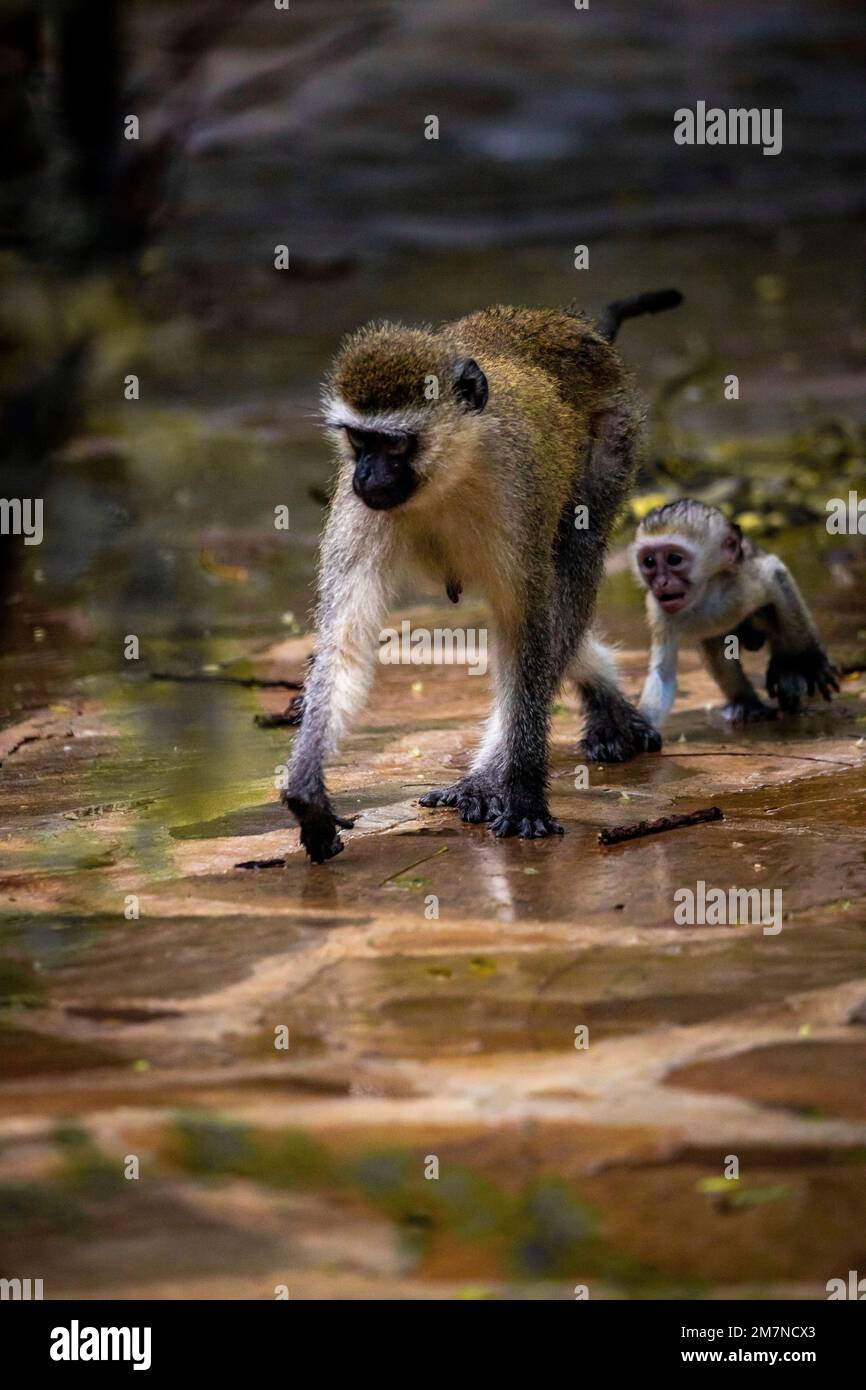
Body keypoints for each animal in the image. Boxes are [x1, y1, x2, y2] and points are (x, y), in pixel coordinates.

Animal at [287, 290, 681, 856]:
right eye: (360, 441)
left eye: (395, 444)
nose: (367, 476)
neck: (449, 471)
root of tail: (558, 322)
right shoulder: (355, 511)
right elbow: (345, 638)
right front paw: (306, 791)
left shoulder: (520, 493)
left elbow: (530, 630)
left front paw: (519, 790)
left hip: (613, 439)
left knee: (569, 583)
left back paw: (496, 771)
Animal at [636, 505, 839, 733]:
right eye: (649, 562)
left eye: (674, 559)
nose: (660, 583)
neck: (703, 594)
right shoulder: (658, 610)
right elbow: (663, 675)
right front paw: (641, 728)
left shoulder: (743, 583)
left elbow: (776, 573)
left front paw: (810, 660)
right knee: (713, 642)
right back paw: (746, 702)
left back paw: (788, 668)